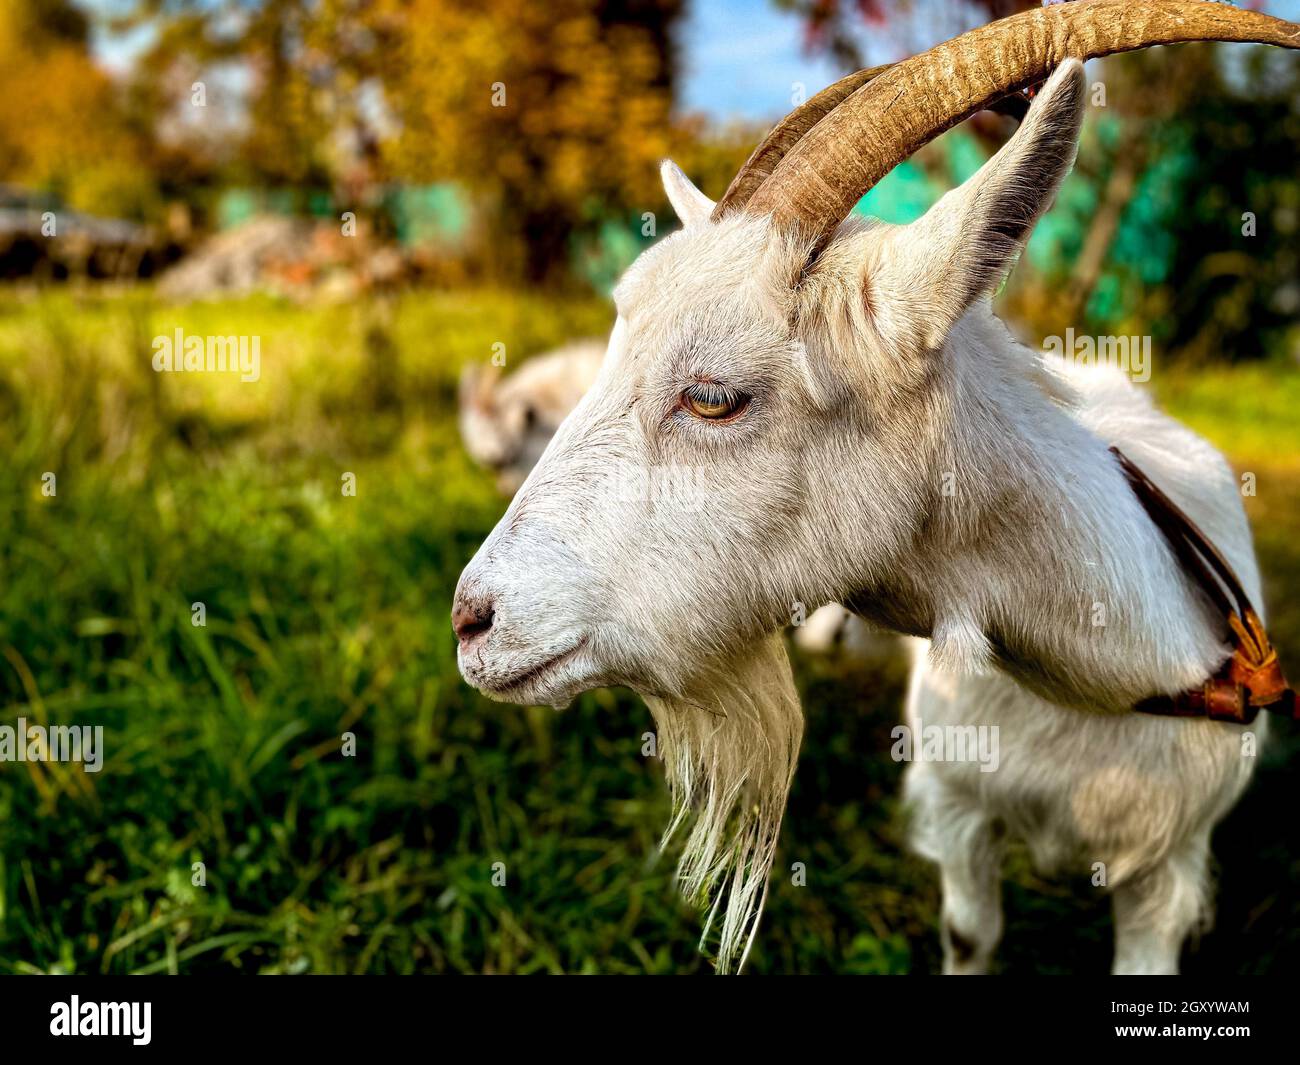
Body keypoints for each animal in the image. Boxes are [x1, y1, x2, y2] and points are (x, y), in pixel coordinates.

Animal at [453, 0, 1300, 973]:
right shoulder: (958, 807)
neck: (1098, 675)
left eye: (713, 396)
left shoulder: (1170, 861)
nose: (472, 621)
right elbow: (970, 931)